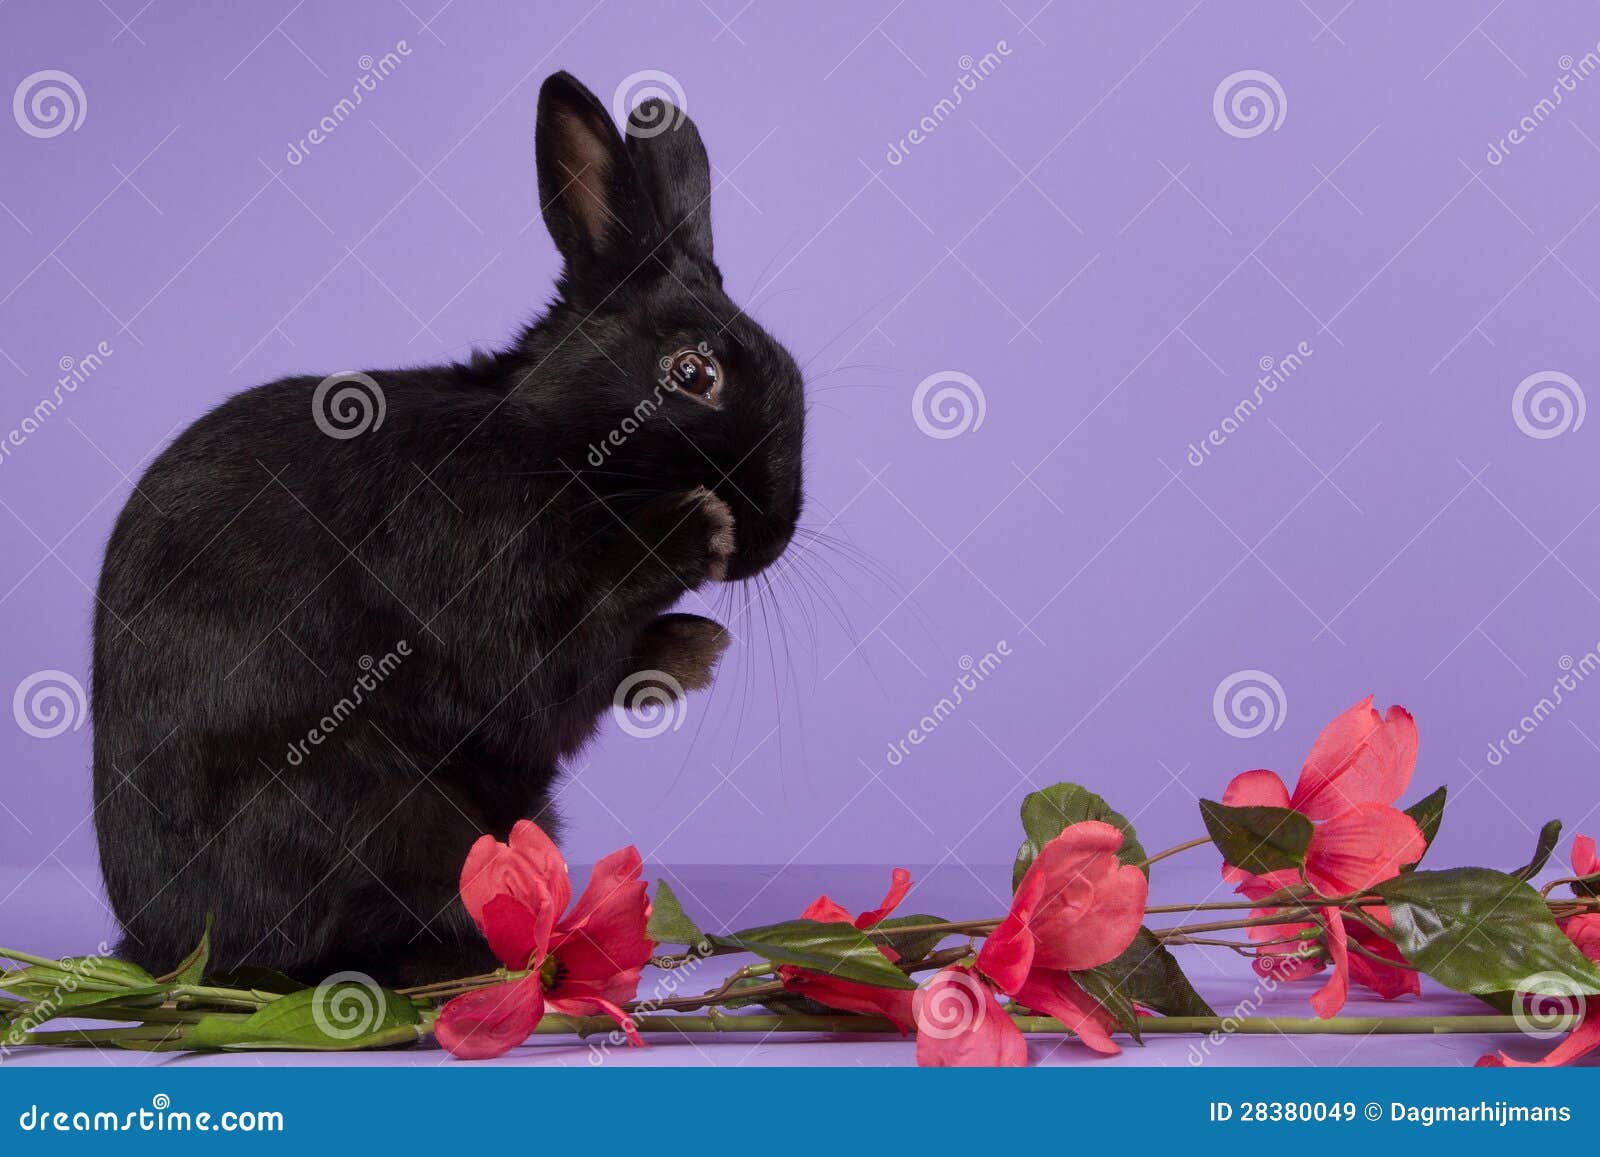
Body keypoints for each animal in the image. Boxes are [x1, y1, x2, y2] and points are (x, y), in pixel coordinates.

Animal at [90, 72, 805, 988]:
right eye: (692, 372)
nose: (770, 534)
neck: (547, 443)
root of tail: (162, 946)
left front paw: (690, 647)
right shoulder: (478, 591)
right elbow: (541, 676)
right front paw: (694, 536)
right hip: (365, 808)